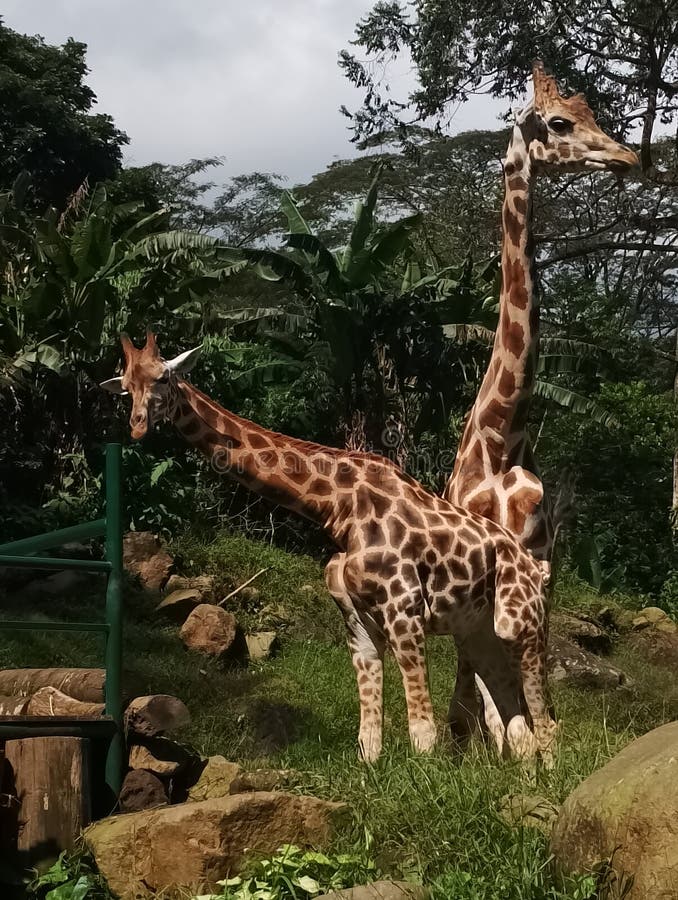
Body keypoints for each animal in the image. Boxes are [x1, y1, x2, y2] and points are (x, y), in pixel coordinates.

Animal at [102, 332, 555, 763]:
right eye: (125, 387)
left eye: (163, 377)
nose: (138, 426)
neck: (336, 505)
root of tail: (535, 567)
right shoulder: (358, 622)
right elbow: (368, 741)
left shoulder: (403, 611)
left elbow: (422, 733)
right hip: (478, 634)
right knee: (520, 730)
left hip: (520, 624)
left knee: (546, 722)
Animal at [443, 63, 639, 748]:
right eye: (558, 123)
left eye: (593, 113)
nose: (628, 156)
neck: (504, 434)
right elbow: (515, 714)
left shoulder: (544, 559)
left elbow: (536, 711)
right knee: (478, 694)